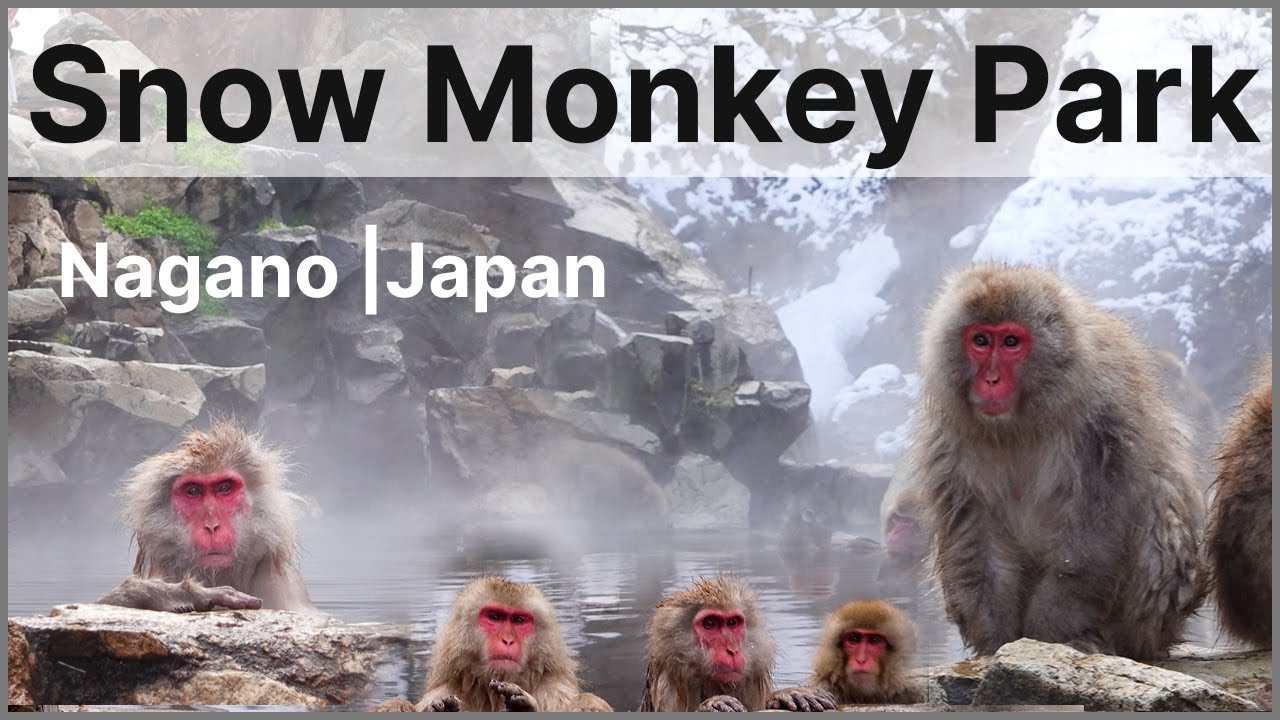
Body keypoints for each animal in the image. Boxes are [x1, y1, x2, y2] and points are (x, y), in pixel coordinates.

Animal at [373, 576, 611, 712]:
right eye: (495, 617)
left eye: (519, 620)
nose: (507, 640)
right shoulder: (441, 693)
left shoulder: (556, 691)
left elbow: (588, 703)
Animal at [638, 575, 837, 712]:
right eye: (710, 623)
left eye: (732, 622)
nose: (732, 650)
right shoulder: (666, 687)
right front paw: (710, 705)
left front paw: (786, 694)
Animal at [906, 264, 1205, 661]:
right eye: (981, 340)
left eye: (1011, 342)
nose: (991, 380)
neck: (1023, 422)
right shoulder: (948, 436)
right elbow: (976, 536)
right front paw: (998, 641)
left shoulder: (1107, 419)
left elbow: (1091, 536)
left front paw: (1048, 636)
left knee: (1159, 501)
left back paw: (1108, 639)